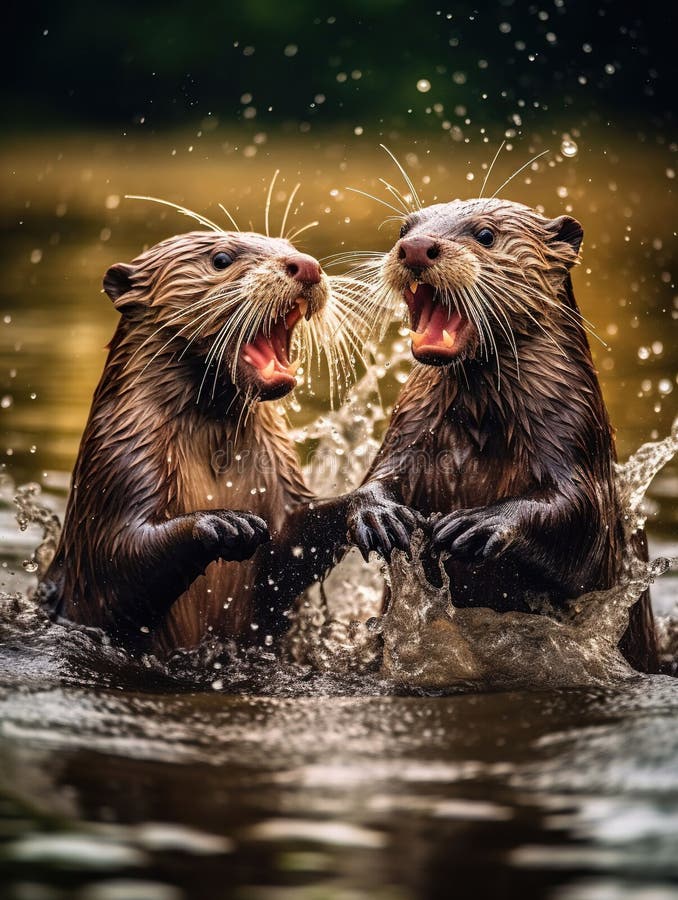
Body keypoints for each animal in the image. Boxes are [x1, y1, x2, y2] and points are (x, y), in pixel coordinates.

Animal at [38, 227, 363, 655]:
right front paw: (224, 520)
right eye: (221, 259)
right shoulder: (118, 462)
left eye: (292, 248)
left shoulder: (281, 478)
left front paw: (372, 503)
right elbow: (117, 563)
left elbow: (294, 540)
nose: (306, 265)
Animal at [344, 198, 659, 673]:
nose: (416, 247)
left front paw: (478, 522)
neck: (481, 432)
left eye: (486, 235)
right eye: (404, 229)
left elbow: (581, 518)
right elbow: (376, 477)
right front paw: (378, 515)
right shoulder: (409, 431)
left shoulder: (574, 434)